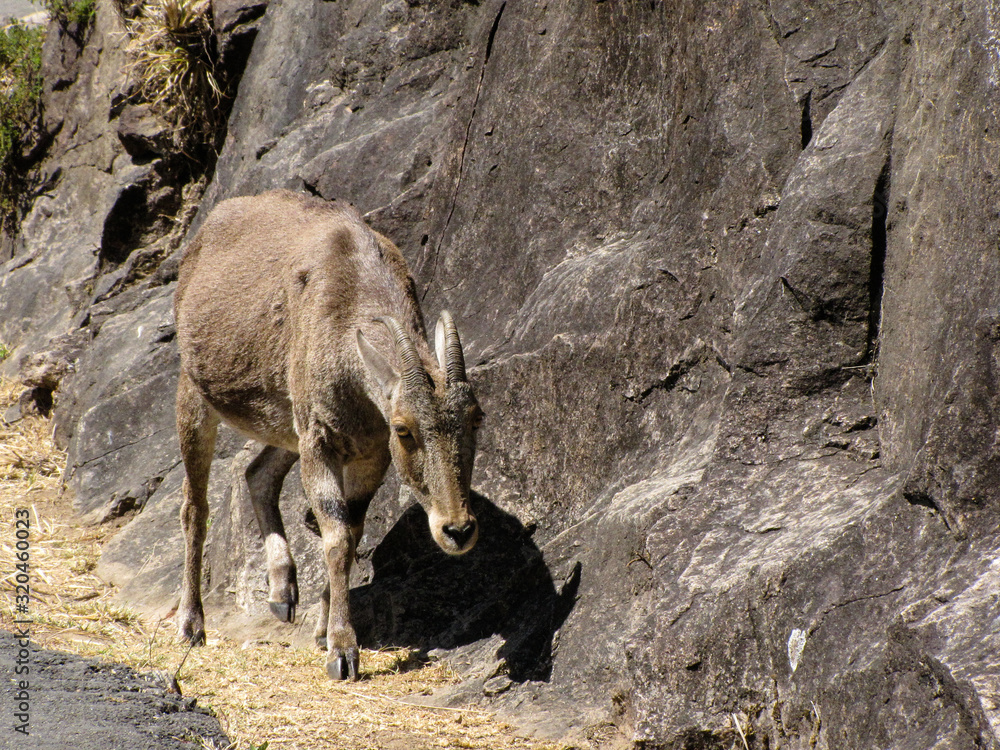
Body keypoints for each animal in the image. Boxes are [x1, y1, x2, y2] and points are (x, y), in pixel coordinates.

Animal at [173, 189, 483, 680]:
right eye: (404, 429)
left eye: (477, 418)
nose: (458, 529)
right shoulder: (321, 439)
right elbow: (336, 537)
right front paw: (341, 650)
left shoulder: (367, 453)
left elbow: (351, 534)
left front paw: (322, 627)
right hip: (196, 390)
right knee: (194, 507)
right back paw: (191, 623)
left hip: (286, 420)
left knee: (257, 472)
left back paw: (282, 591)